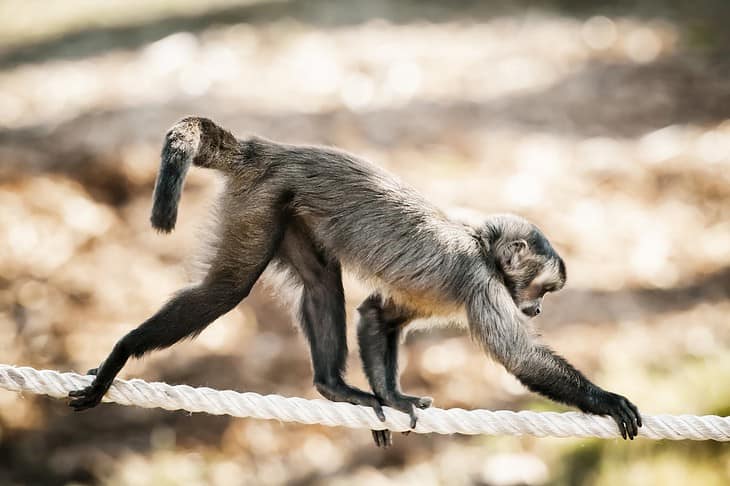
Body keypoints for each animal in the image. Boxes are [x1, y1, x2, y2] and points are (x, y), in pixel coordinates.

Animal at [68, 117, 642, 447]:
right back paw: (123, 352)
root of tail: (268, 150)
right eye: (541, 292)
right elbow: (521, 360)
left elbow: (375, 316)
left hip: (285, 207)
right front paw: (606, 399)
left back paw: (334, 387)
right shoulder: (480, 282)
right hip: (262, 198)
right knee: (226, 290)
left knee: (322, 282)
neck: (481, 244)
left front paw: (391, 396)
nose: (537, 310)